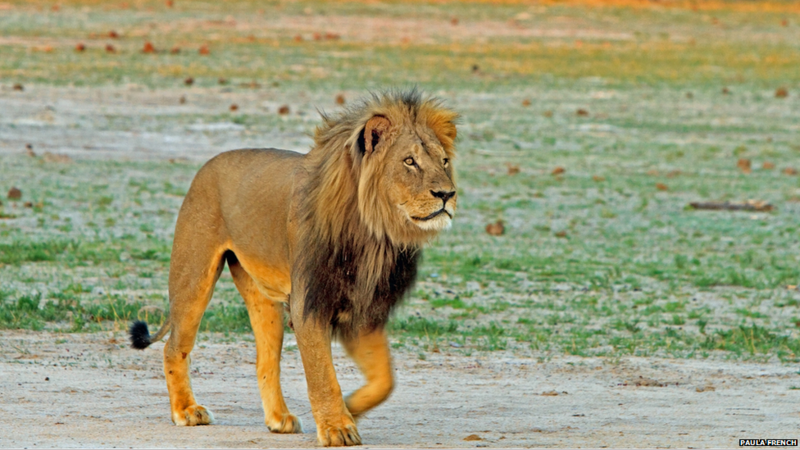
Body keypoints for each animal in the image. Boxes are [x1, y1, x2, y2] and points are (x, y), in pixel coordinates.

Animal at [128, 89, 458, 447]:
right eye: (409, 161)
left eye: (444, 161)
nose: (447, 194)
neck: (375, 234)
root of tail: (207, 165)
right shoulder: (309, 304)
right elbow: (322, 374)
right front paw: (337, 428)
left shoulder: (363, 311)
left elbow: (385, 380)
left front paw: (351, 409)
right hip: (194, 277)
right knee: (174, 347)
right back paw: (186, 410)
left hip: (263, 299)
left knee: (264, 361)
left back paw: (278, 419)